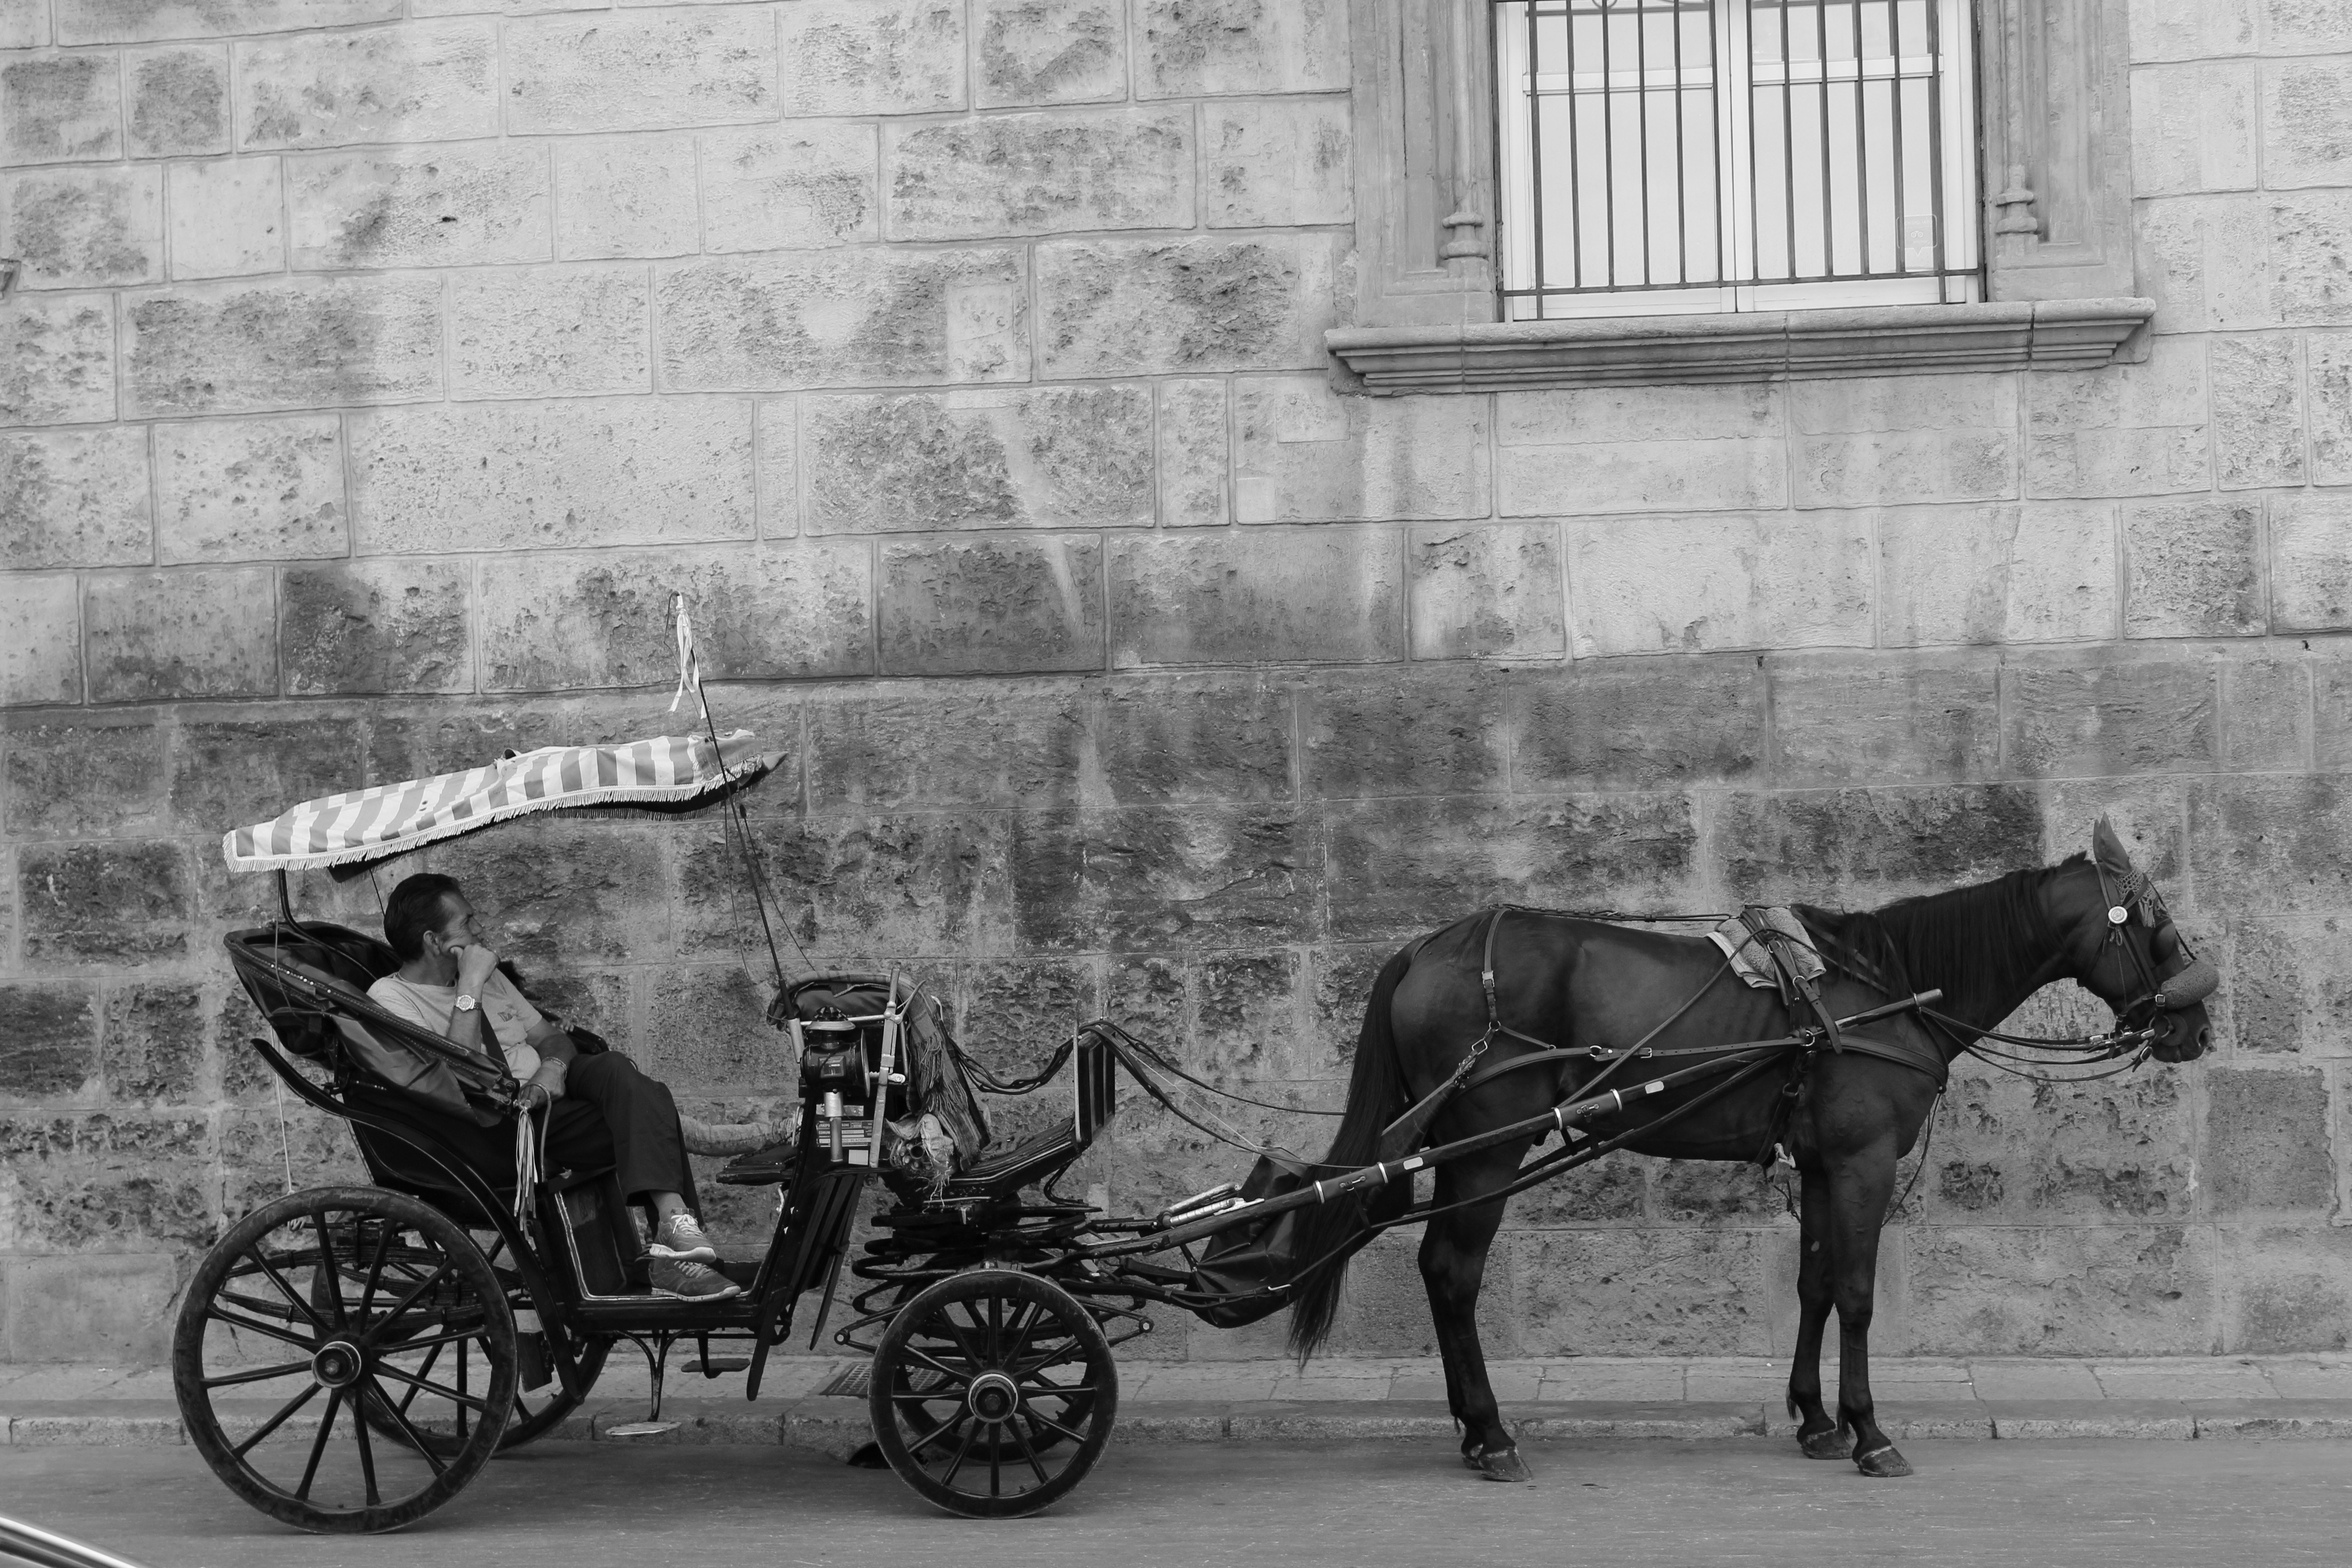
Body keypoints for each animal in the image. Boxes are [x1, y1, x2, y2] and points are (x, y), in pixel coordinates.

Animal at [1283, 818, 2216, 1482]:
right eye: (2158, 922)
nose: (2197, 1026)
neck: (1889, 990)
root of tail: (1428, 946)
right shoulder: (1863, 1161)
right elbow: (1856, 1295)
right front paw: (1869, 1431)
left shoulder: (1822, 1163)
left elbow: (1813, 1287)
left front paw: (1815, 1420)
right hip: (1489, 1146)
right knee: (1452, 1271)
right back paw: (1491, 1432)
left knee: (1439, 1268)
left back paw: (1473, 1432)